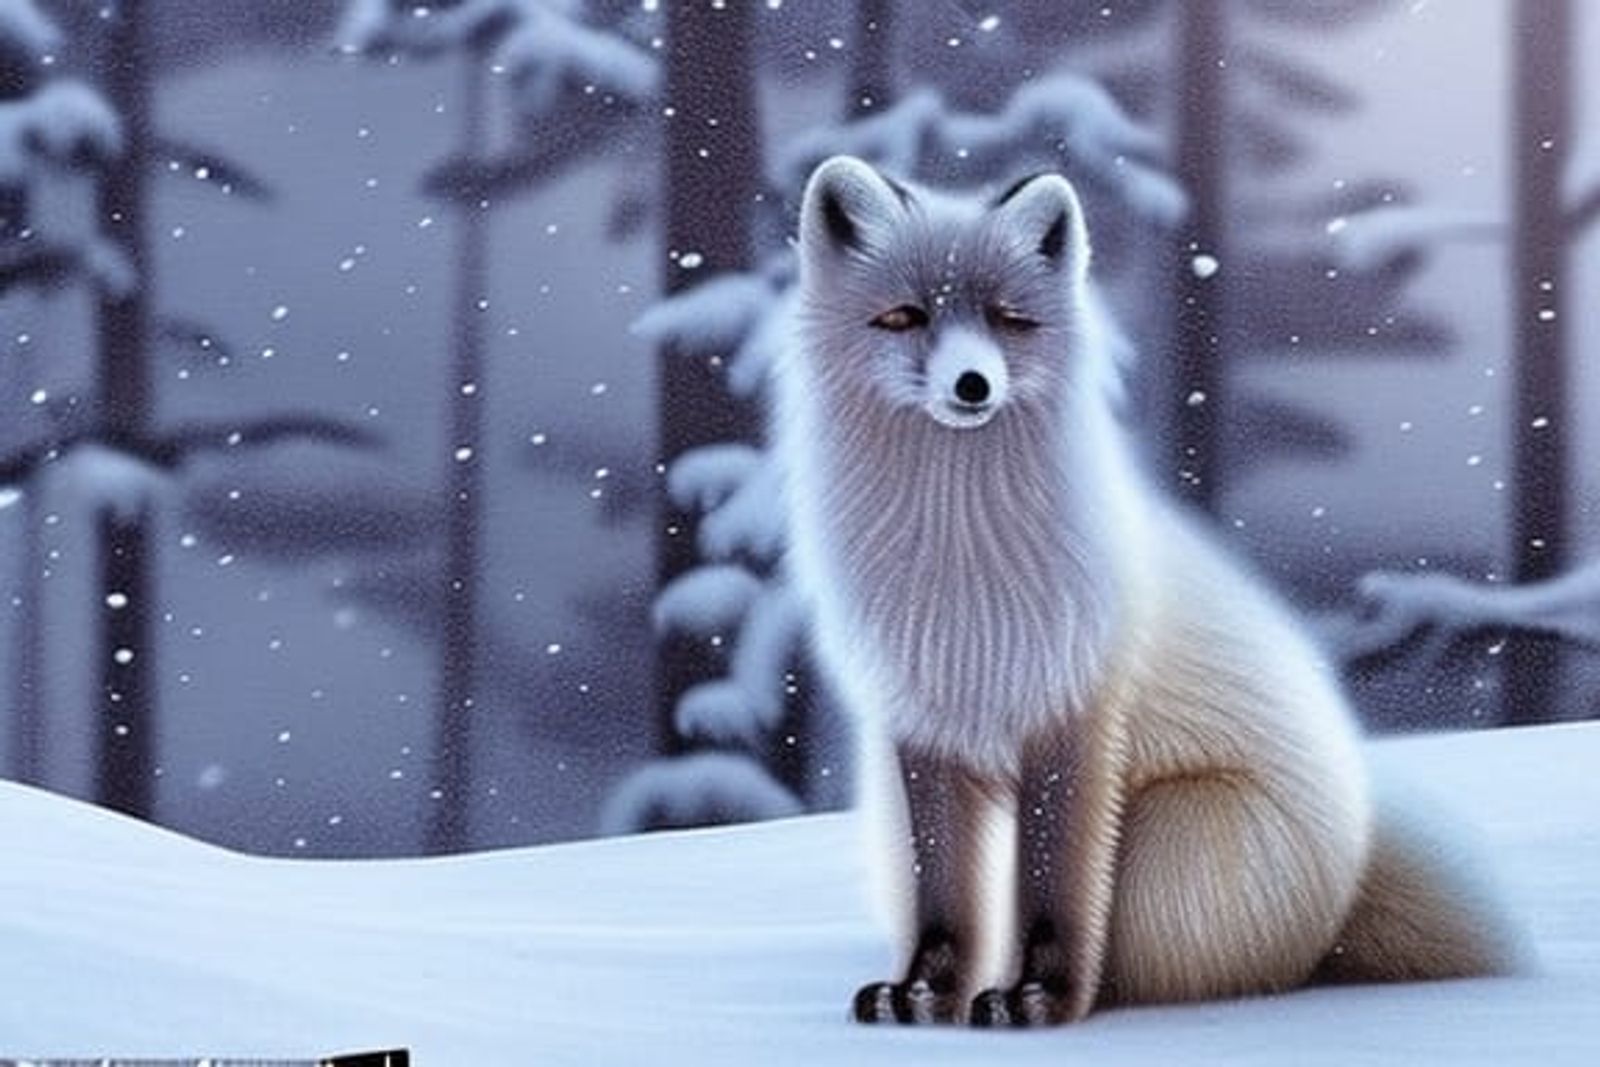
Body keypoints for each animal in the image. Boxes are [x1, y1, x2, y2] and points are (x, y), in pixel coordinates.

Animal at [772, 156, 1528, 1028]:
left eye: (1010, 319)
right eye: (903, 316)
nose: (972, 384)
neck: (962, 564)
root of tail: (1350, 879)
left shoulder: (1074, 711)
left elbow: (1056, 888)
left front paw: (1037, 998)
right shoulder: (924, 719)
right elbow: (944, 896)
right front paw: (924, 992)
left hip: (1166, 836)